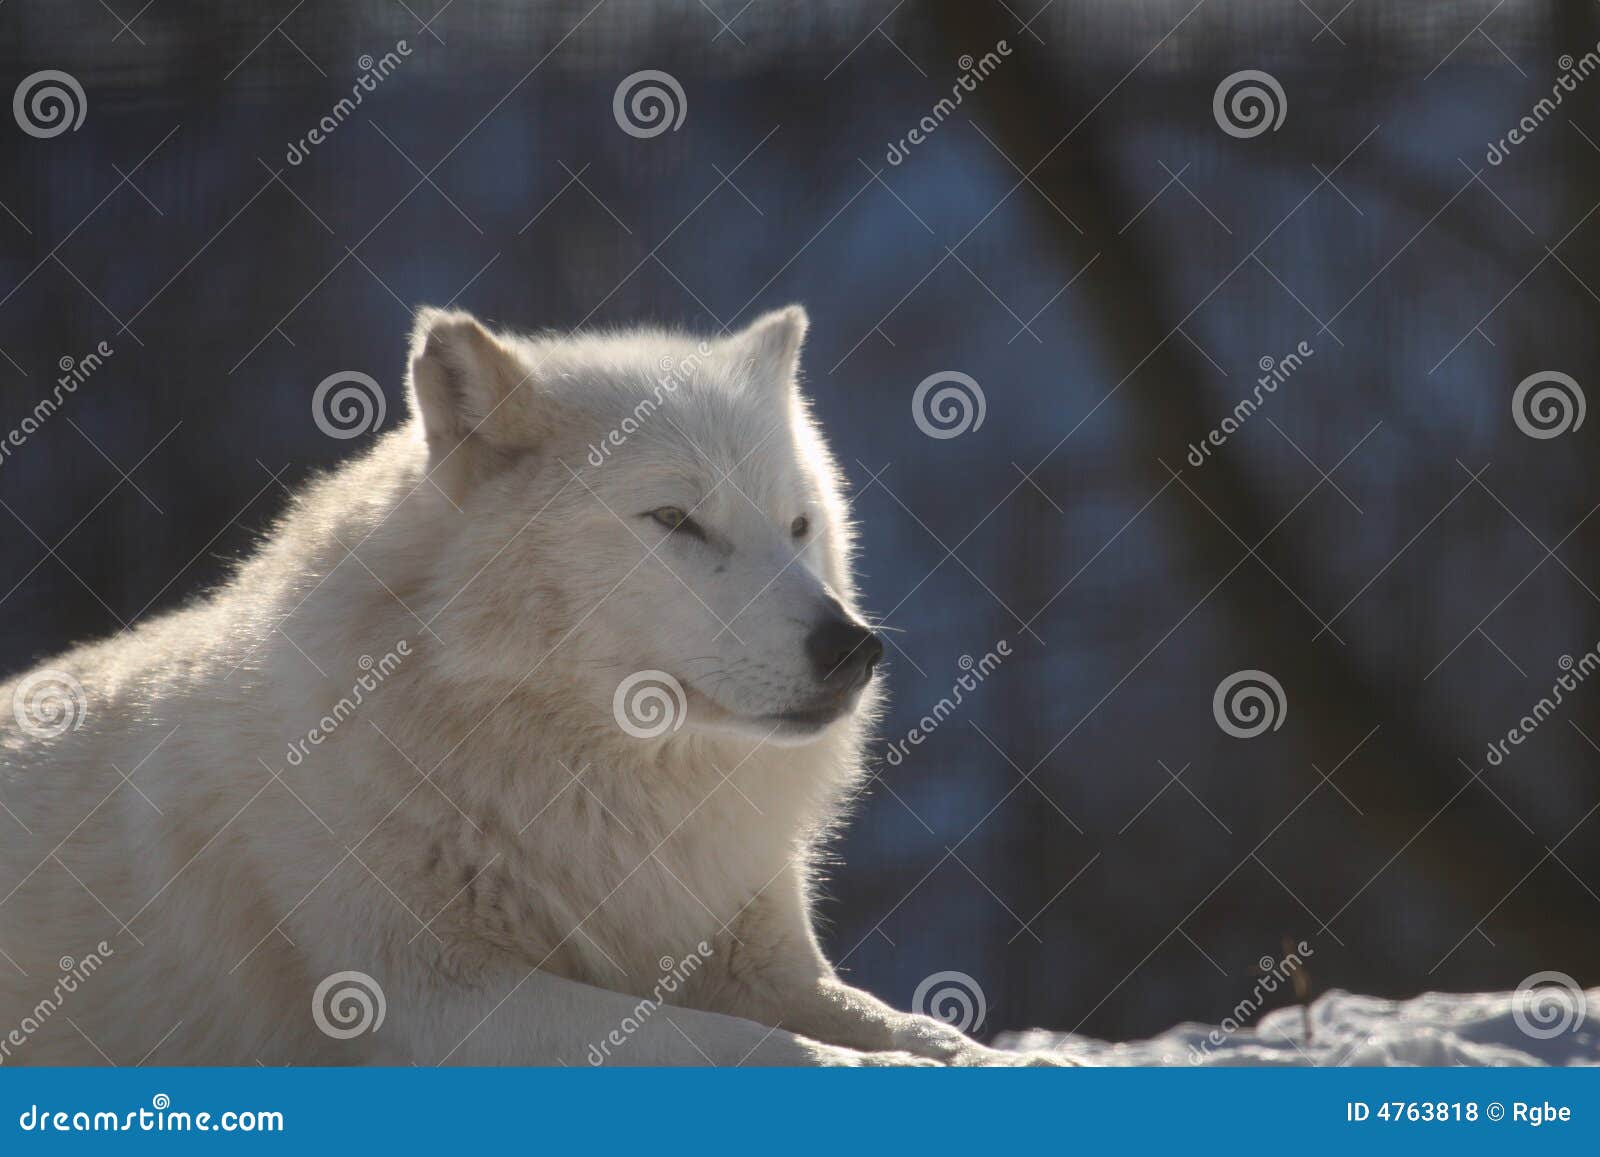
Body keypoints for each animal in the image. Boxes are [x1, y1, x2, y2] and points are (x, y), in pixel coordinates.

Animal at [0, 306, 1061, 1066]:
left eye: (798, 526)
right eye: (676, 519)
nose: (853, 649)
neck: (595, 791)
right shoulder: (435, 997)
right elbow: (756, 1049)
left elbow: (908, 1023)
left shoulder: (762, 958)